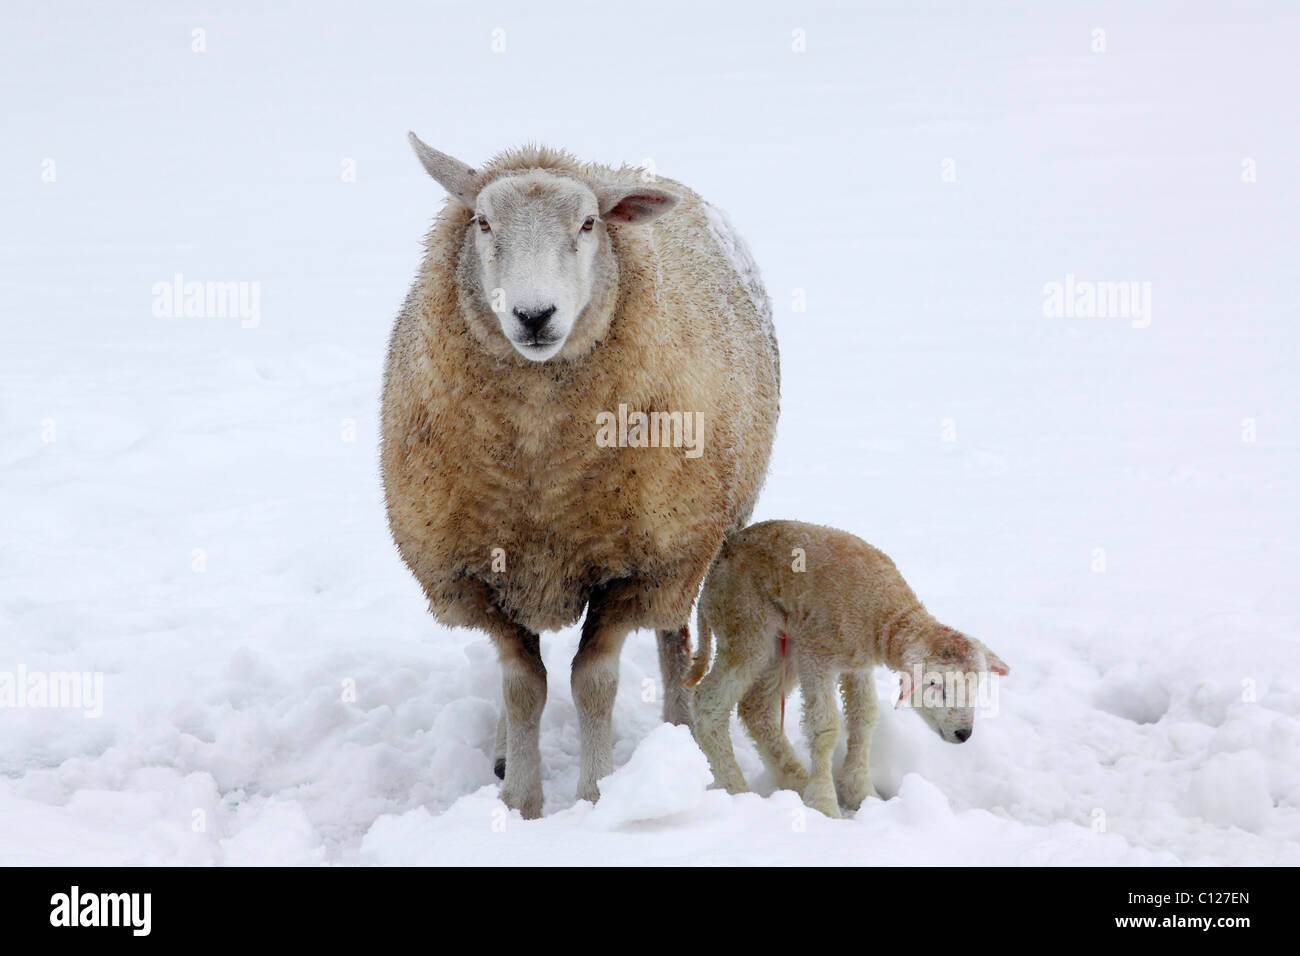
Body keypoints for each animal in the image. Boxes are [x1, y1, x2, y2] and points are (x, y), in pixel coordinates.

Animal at [381, 134, 780, 818]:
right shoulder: (477, 576)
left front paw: (596, 794)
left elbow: (593, 684)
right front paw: (519, 799)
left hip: (689, 539)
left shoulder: (638, 568)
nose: (534, 315)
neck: (543, 471)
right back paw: (502, 750)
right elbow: (523, 687)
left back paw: (678, 728)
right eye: (483, 222)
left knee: (673, 638)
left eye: (589, 223)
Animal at [684, 520, 1010, 818]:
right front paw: (825, 804)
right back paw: (736, 788)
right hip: (745, 624)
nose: (963, 733)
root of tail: (718, 559)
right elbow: (825, 726)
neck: (884, 616)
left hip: (784, 642)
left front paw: (861, 793)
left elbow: (864, 718)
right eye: (934, 684)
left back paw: (795, 779)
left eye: (976, 686)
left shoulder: (857, 664)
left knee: (757, 707)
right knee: (707, 702)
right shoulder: (817, 655)